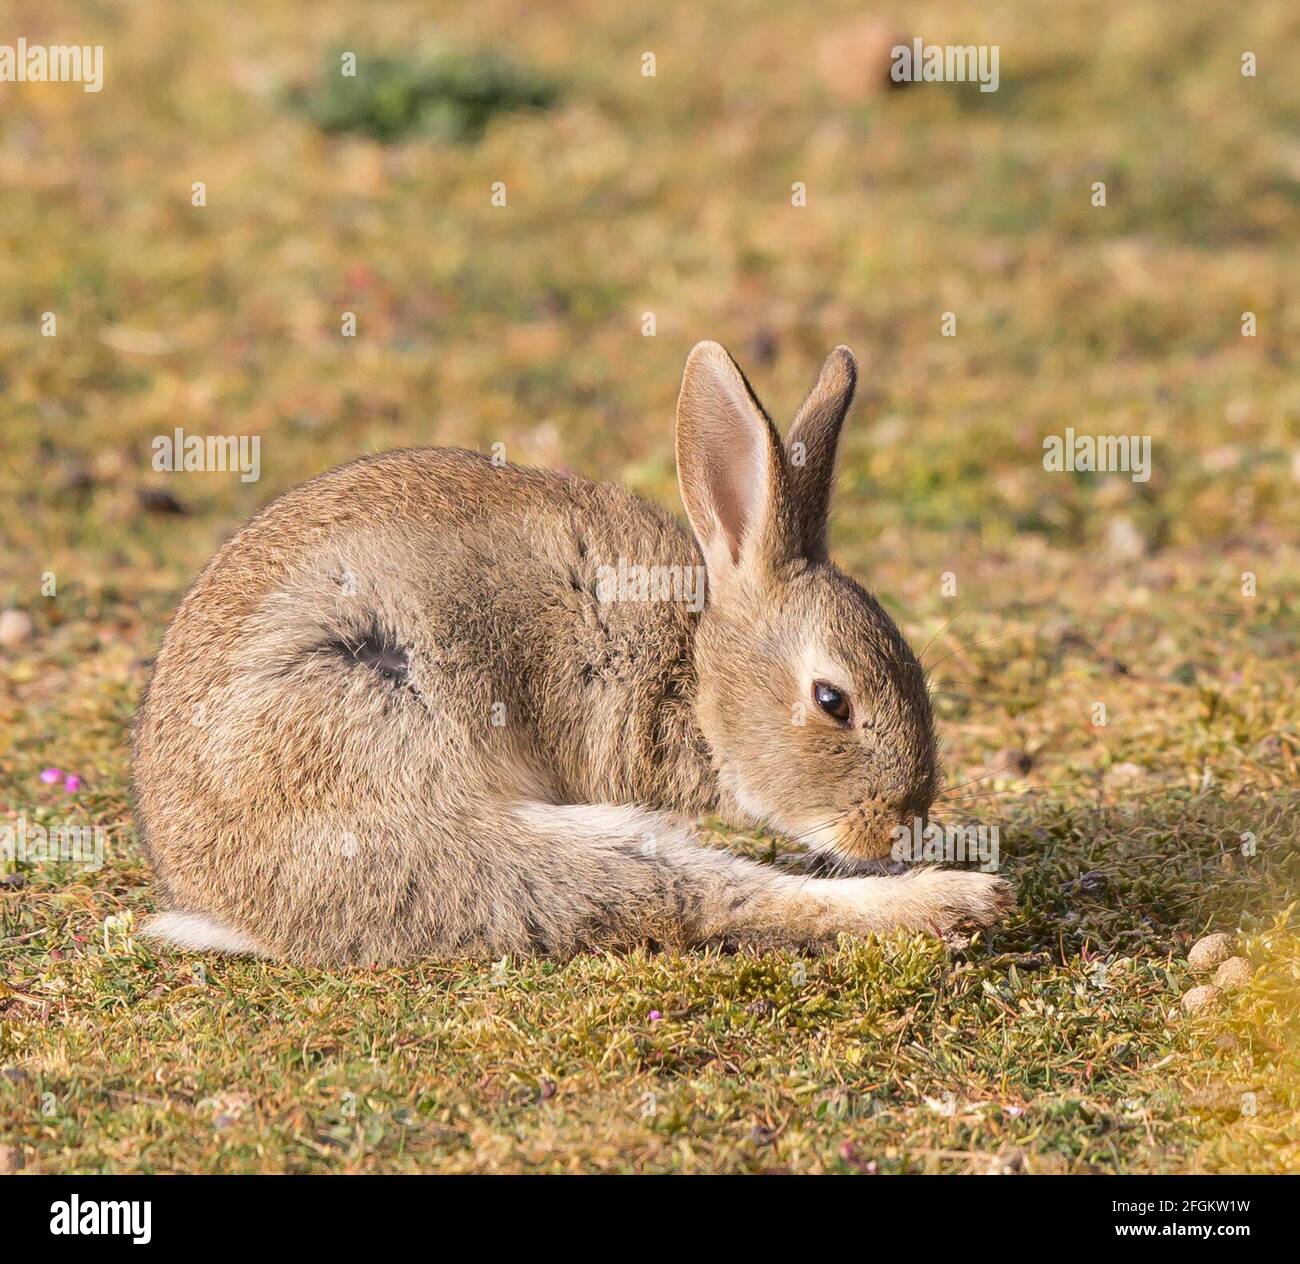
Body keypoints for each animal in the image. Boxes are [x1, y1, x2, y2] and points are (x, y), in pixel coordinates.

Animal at [132, 341, 1013, 965]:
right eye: (834, 701)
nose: (897, 828)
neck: (692, 668)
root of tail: (223, 902)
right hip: (405, 794)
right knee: (683, 895)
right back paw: (962, 901)